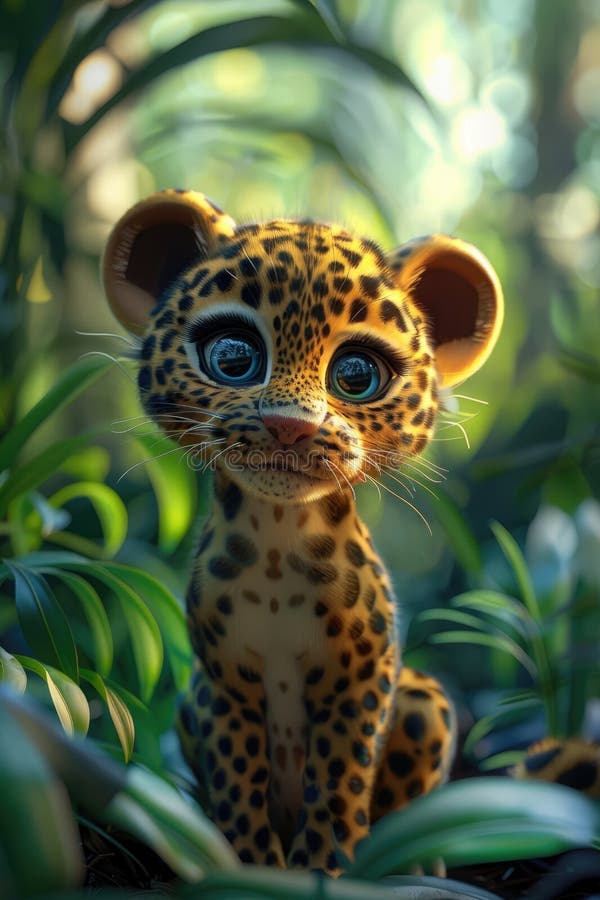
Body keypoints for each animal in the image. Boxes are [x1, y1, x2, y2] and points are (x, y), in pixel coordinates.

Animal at [102, 188, 507, 874]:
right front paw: (252, 867)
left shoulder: (362, 679)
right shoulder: (220, 684)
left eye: (357, 374)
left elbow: (341, 781)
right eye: (233, 357)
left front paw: (325, 870)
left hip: (423, 699)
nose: (290, 425)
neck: (277, 540)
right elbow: (239, 780)